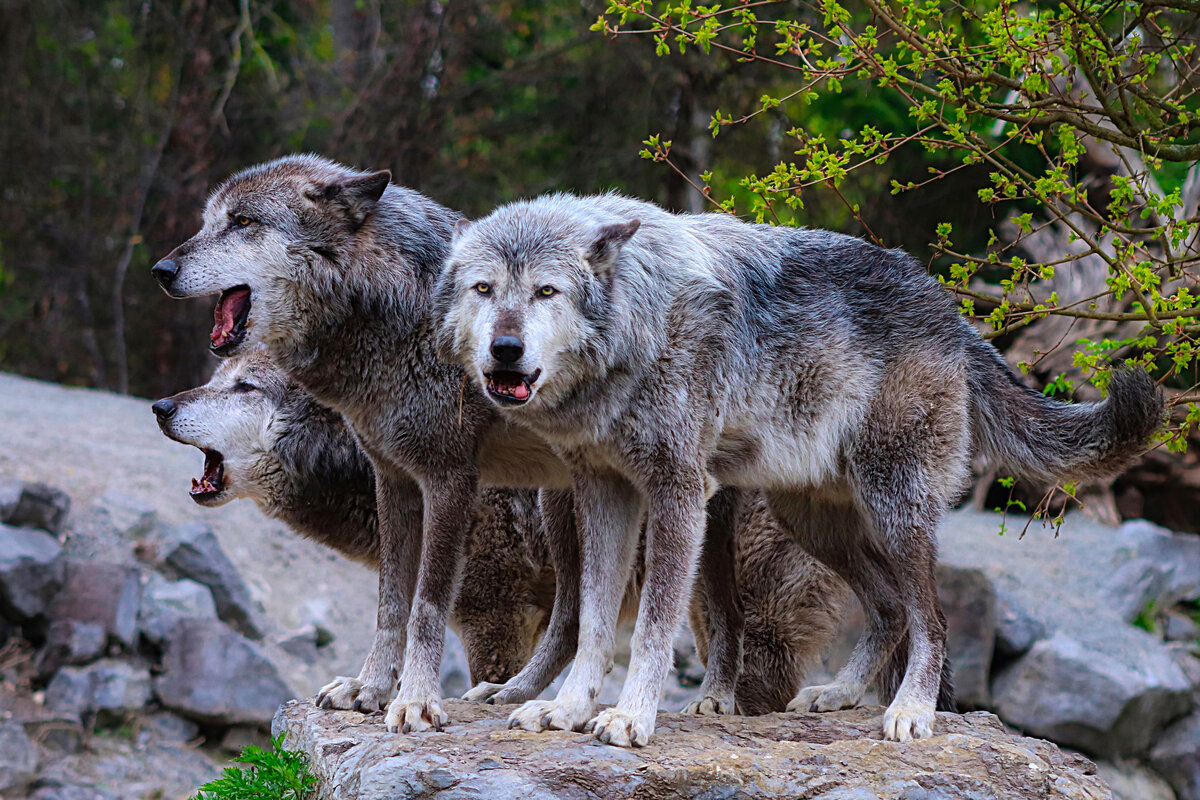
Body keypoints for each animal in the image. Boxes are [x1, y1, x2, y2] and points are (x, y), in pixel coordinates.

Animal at [157, 350, 926, 714]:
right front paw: (368, 692)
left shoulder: (492, 611)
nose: (162, 404)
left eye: (243, 389)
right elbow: (394, 618)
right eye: (215, 374)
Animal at [436, 190, 1166, 748]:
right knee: (890, 609)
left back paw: (911, 712)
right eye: (484, 289)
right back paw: (838, 694)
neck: (641, 319)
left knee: (931, 619)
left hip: (894, 510)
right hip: (814, 522)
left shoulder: (677, 493)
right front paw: (567, 709)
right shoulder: (605, 493)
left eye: (546, 291)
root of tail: (951, 312)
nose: (505, 348)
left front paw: (629, 717)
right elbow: (593, 622)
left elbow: (650, 627)